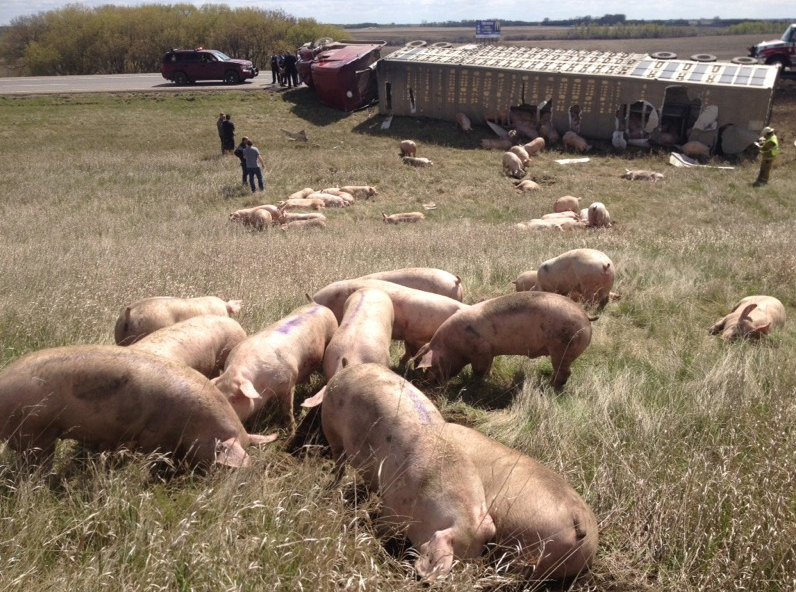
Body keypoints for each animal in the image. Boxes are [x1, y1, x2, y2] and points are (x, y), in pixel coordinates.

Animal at [320, 363, 497, 580]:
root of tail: (350, 367)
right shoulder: (394, 504)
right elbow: (384, 528)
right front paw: (375, 539)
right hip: (330, 426)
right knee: (339, 462)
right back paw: (333, 487)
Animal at [412, 291, 592, 389]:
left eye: (432, 367)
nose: (423, 383)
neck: (453, 346)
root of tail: (586, 317)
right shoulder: (490, 352)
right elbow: (488, 368)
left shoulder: (481, 350)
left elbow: (479, 371)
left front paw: (476, 382)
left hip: (563, 347)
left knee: (565, 371)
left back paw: (550, 387)